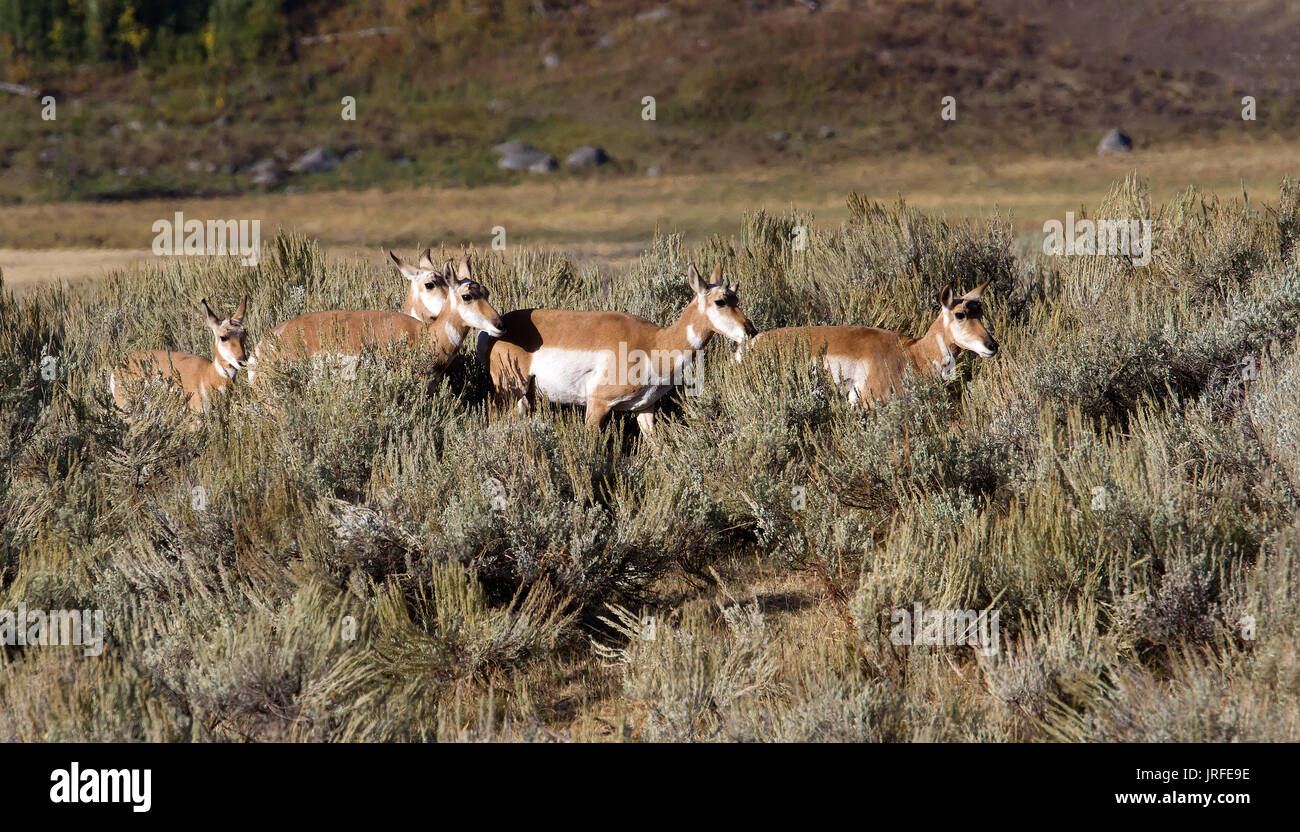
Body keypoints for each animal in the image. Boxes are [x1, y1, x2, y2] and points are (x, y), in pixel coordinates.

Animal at [476, 262, 757, 435]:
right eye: (721, 301)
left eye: (737, 298)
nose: (750, 331)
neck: (656, 342)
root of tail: (499, 326)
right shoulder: (598, 404)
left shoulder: (645, 409)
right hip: (509, 391)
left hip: (524, 398)